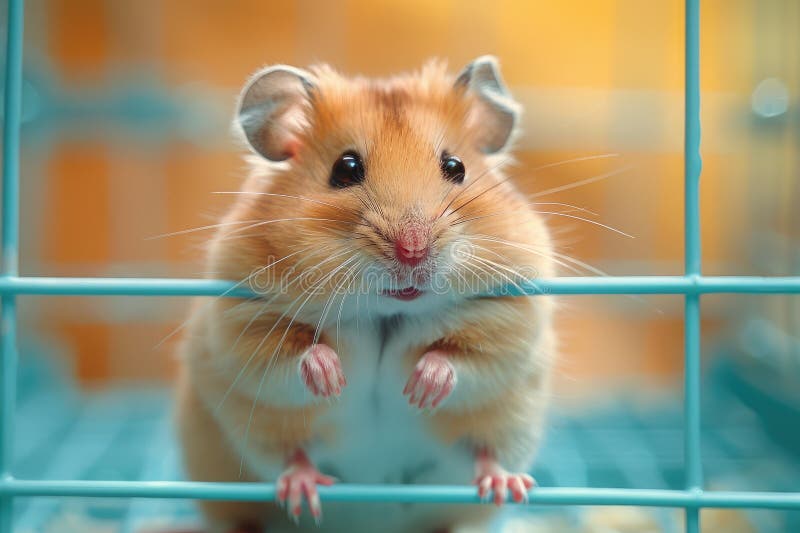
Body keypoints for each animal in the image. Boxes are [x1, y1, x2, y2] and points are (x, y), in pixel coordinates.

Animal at [175, 56, 556, 533]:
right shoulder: (243, 324)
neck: (385, 311)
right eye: (346, 168)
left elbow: (463, 357)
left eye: (456, 166)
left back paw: (507, 486)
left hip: (507, 428)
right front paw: (332, 379)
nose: (413, 249)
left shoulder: (511, 318)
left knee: (485, 453)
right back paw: (303, 494)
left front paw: (420, 391)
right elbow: (291, 354)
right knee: (290, 458)